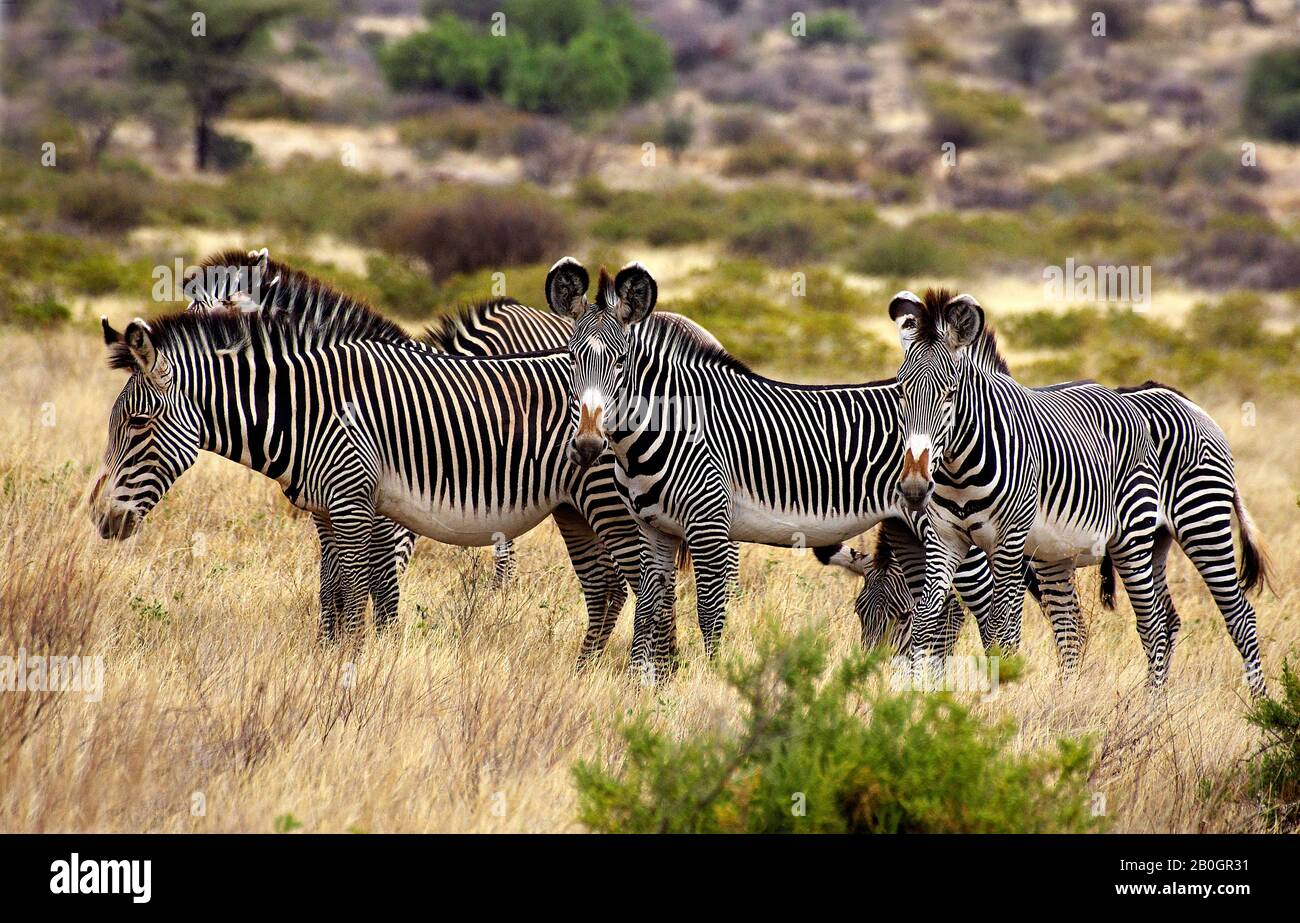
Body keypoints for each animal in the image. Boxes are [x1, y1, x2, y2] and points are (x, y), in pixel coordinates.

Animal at [543, 257, 1006, 679]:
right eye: (572, 358)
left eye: (621, 361)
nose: (587, 446)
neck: (671, 424)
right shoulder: (653, 527)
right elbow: (650, 609)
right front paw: (642, 686)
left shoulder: (709, 524)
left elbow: (709, 612)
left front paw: (715, 682)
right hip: (907, 528)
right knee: (942, 608)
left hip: (950, 526)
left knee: (987, 608)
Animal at [885, 288, 1266, 696]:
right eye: (902, 391)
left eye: (950, 393)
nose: (913, 487)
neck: (960, 469)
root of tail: (1183, 399)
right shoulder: (947, 541)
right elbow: (926, 620)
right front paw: (915, 696)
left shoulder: (1009, 543)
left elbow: (1004, 627)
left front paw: (1001, 697)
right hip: (1152, 541)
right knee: (1162, 620)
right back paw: (1150, 703)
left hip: (1196, 523)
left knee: (1229, 617)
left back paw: (1255, 703)